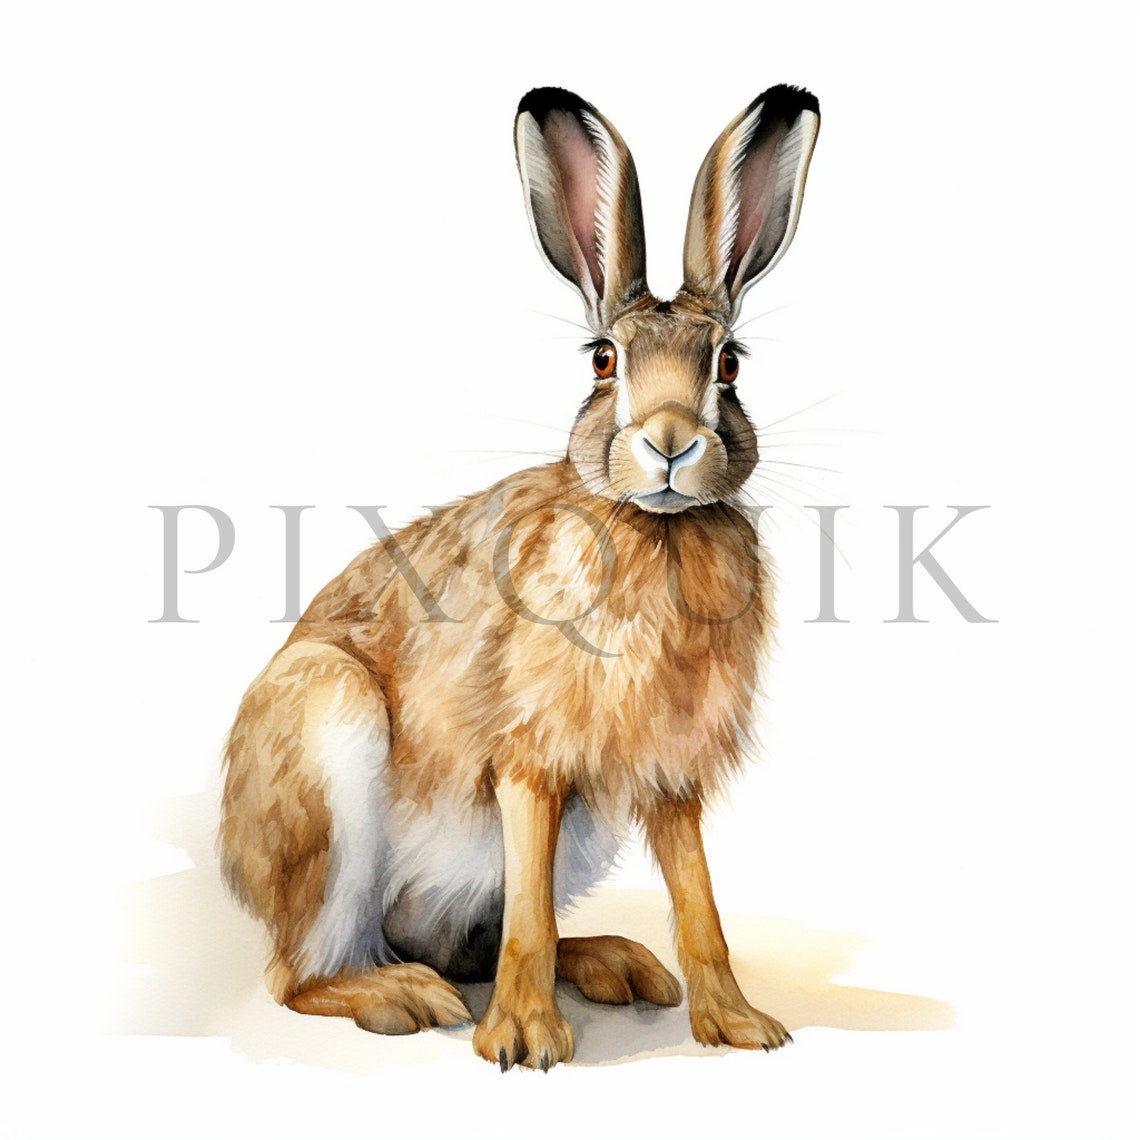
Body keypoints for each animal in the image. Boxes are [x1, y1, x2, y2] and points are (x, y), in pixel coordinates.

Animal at [220, 84, 819, 1070]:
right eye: (603, 362)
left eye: (729, 366)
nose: (668, 442)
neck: (650, 531)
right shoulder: (530, 761)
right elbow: (529, 918)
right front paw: (525, 1042)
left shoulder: (669, 777)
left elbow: (699, 902)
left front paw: (741, 1027)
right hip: (328, 749)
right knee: (299, 976)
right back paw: (401, 997)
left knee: (464, 943)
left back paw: (619, 963)